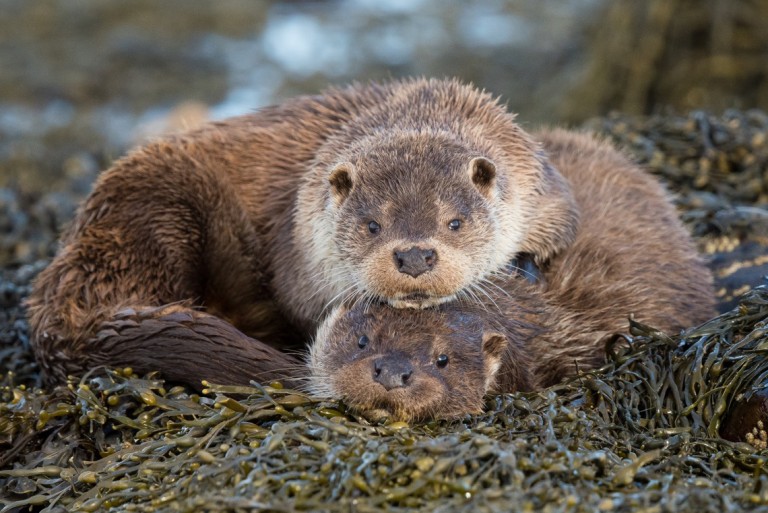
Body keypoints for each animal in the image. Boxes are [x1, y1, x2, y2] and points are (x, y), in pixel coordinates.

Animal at [27, 78, 578, 387]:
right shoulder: (299, 260)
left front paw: (524, 264)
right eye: (372, 224)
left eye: (454, 222)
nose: (415, 257)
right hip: (160, 211)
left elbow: (564, 229)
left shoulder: (542, 190)